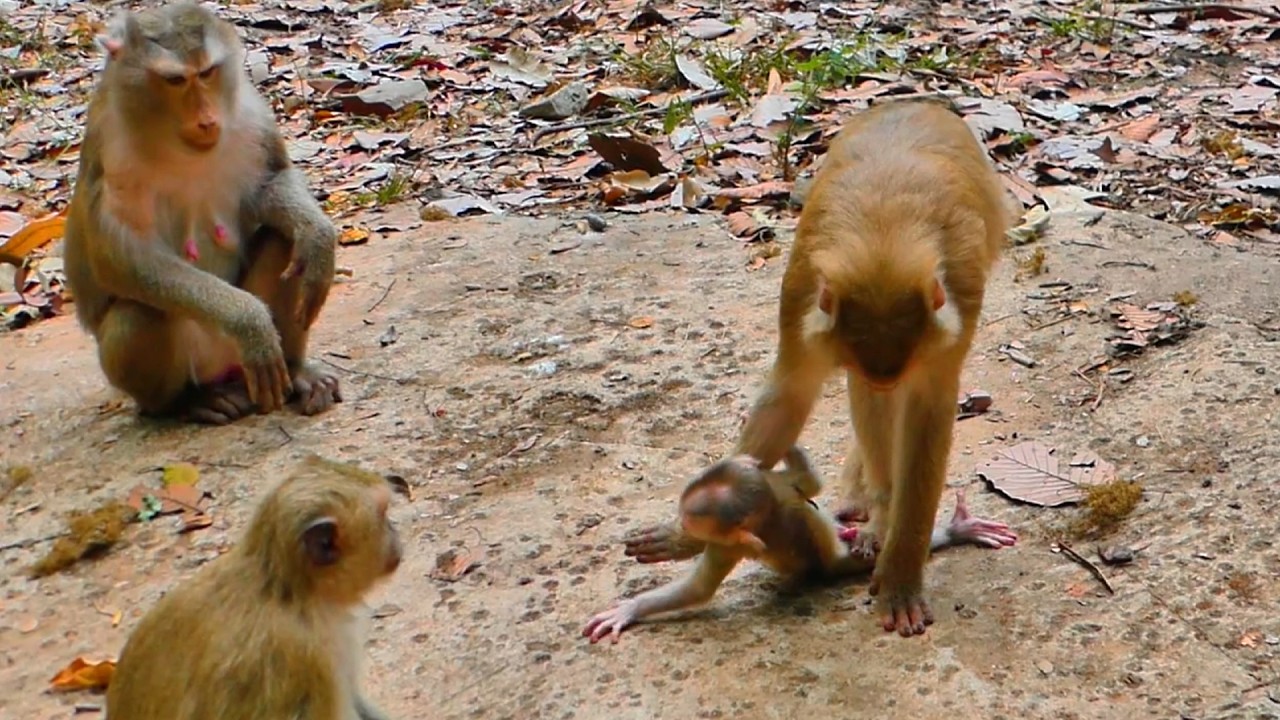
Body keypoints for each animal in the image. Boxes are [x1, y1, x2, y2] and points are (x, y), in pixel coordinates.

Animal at [61, 2, 341, 425]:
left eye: (207, 72)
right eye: (175, 80)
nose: (207, 119)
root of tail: (226, 370)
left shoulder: (249, 111)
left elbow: (272, 181)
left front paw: (319, 236)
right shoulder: (112, 153)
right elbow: (122, 258)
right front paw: (248, 321)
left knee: (285, 242)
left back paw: (296, 370)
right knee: (136, 317)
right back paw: (184, 402)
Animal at [582, 447, 1016, 644]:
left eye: (694, 516)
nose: (686, 523)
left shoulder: (738, 531)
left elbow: (699, 588)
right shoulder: (767, 504)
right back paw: (957, 529)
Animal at [733, 97, 1012, 637]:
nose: (884, 375)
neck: (883, 233)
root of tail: (912, 99)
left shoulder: (952, 311)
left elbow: (927, 414)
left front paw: (902, 572)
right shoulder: (803, 297)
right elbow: (791, 393)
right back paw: (874, 506)